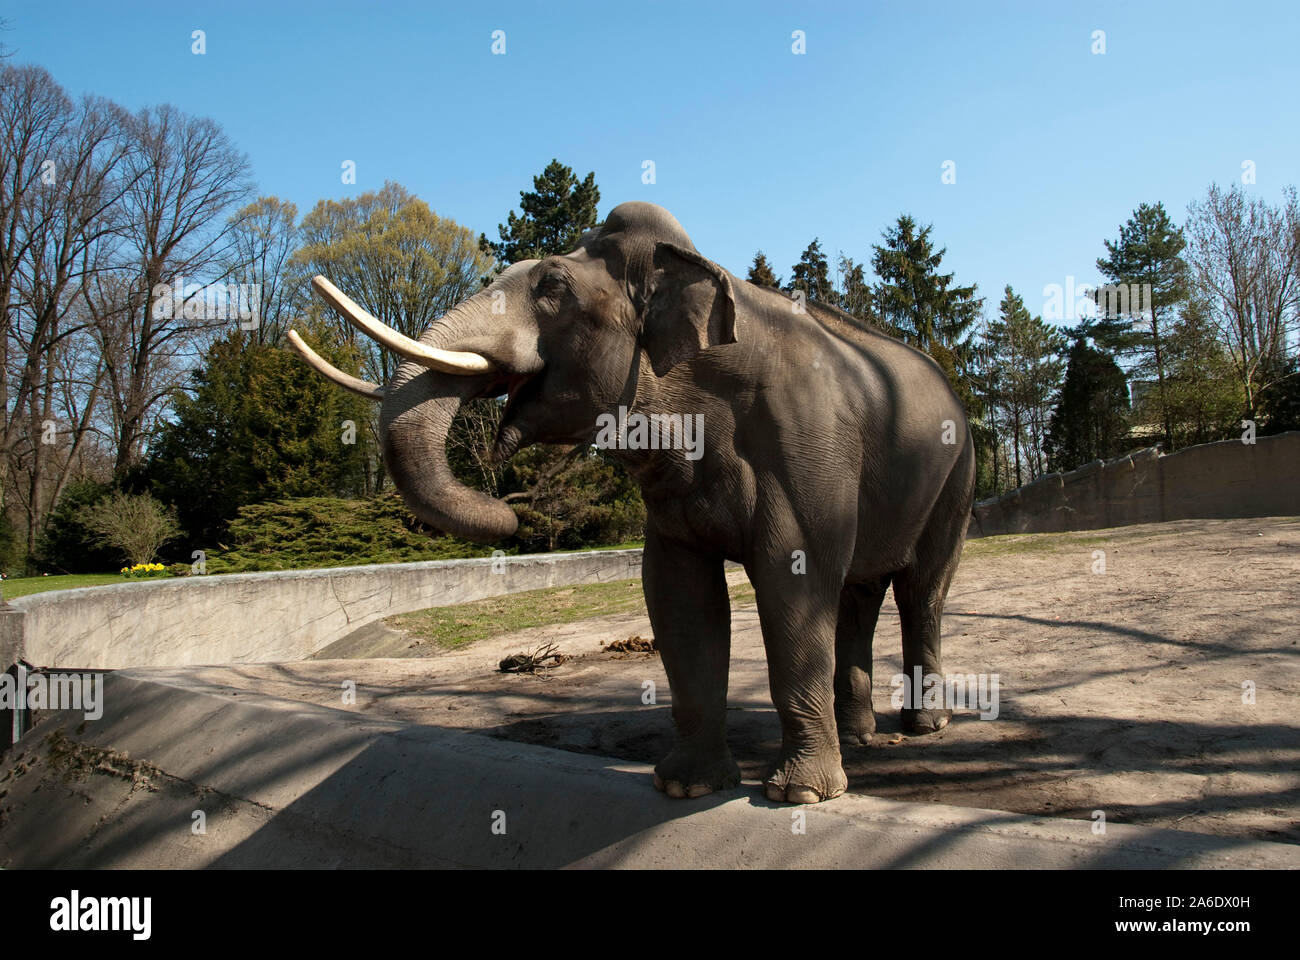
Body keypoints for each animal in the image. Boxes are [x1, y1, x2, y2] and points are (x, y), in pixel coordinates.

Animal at [290, 202, 975, 804]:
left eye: (552, 285)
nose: (510, 515)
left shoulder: (805, 445)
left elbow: (794, 582)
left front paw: (798, 796)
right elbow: (677, 593)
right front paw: (685, 786)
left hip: (956, 477)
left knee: (922, 590)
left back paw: (924, 726)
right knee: (861, 595)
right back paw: (860, 738)